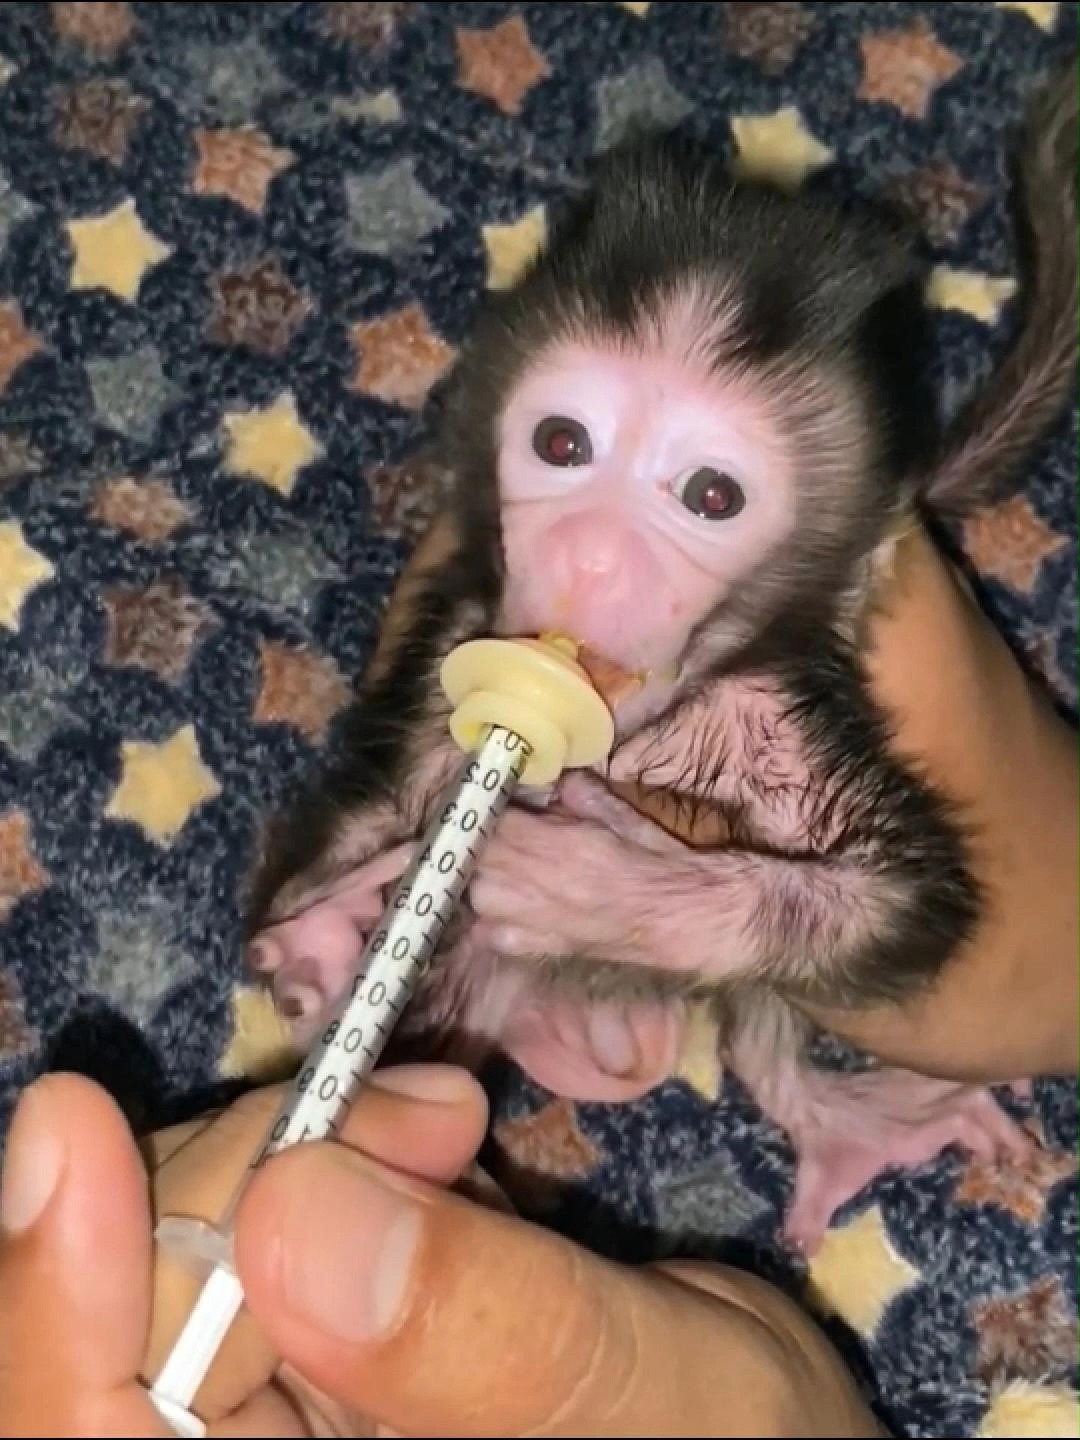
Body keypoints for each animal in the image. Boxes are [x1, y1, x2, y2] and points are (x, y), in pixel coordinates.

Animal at [244, 60, 1078, 1252]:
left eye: (711, 496)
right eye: (562, 444)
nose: (590, 558)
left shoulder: (773, 717)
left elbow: (901, 899)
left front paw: (607, 886)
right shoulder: (453, 653)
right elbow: (376, 819)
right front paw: (319, 944)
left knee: (767, 1012)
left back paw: (831, 1117)